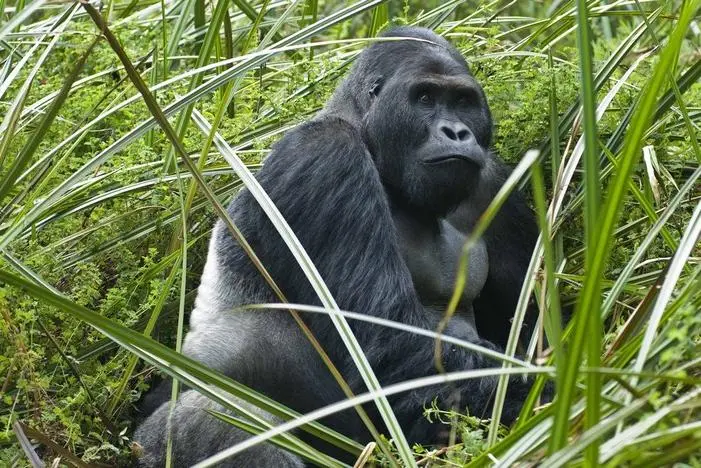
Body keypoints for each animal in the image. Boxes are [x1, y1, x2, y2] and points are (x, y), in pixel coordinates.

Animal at [134, 27, 540, 466]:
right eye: (425, 98)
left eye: (463, 102)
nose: (456, 132)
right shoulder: (325, 154)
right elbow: (391, 348)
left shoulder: (493, 181)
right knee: (221, 415)